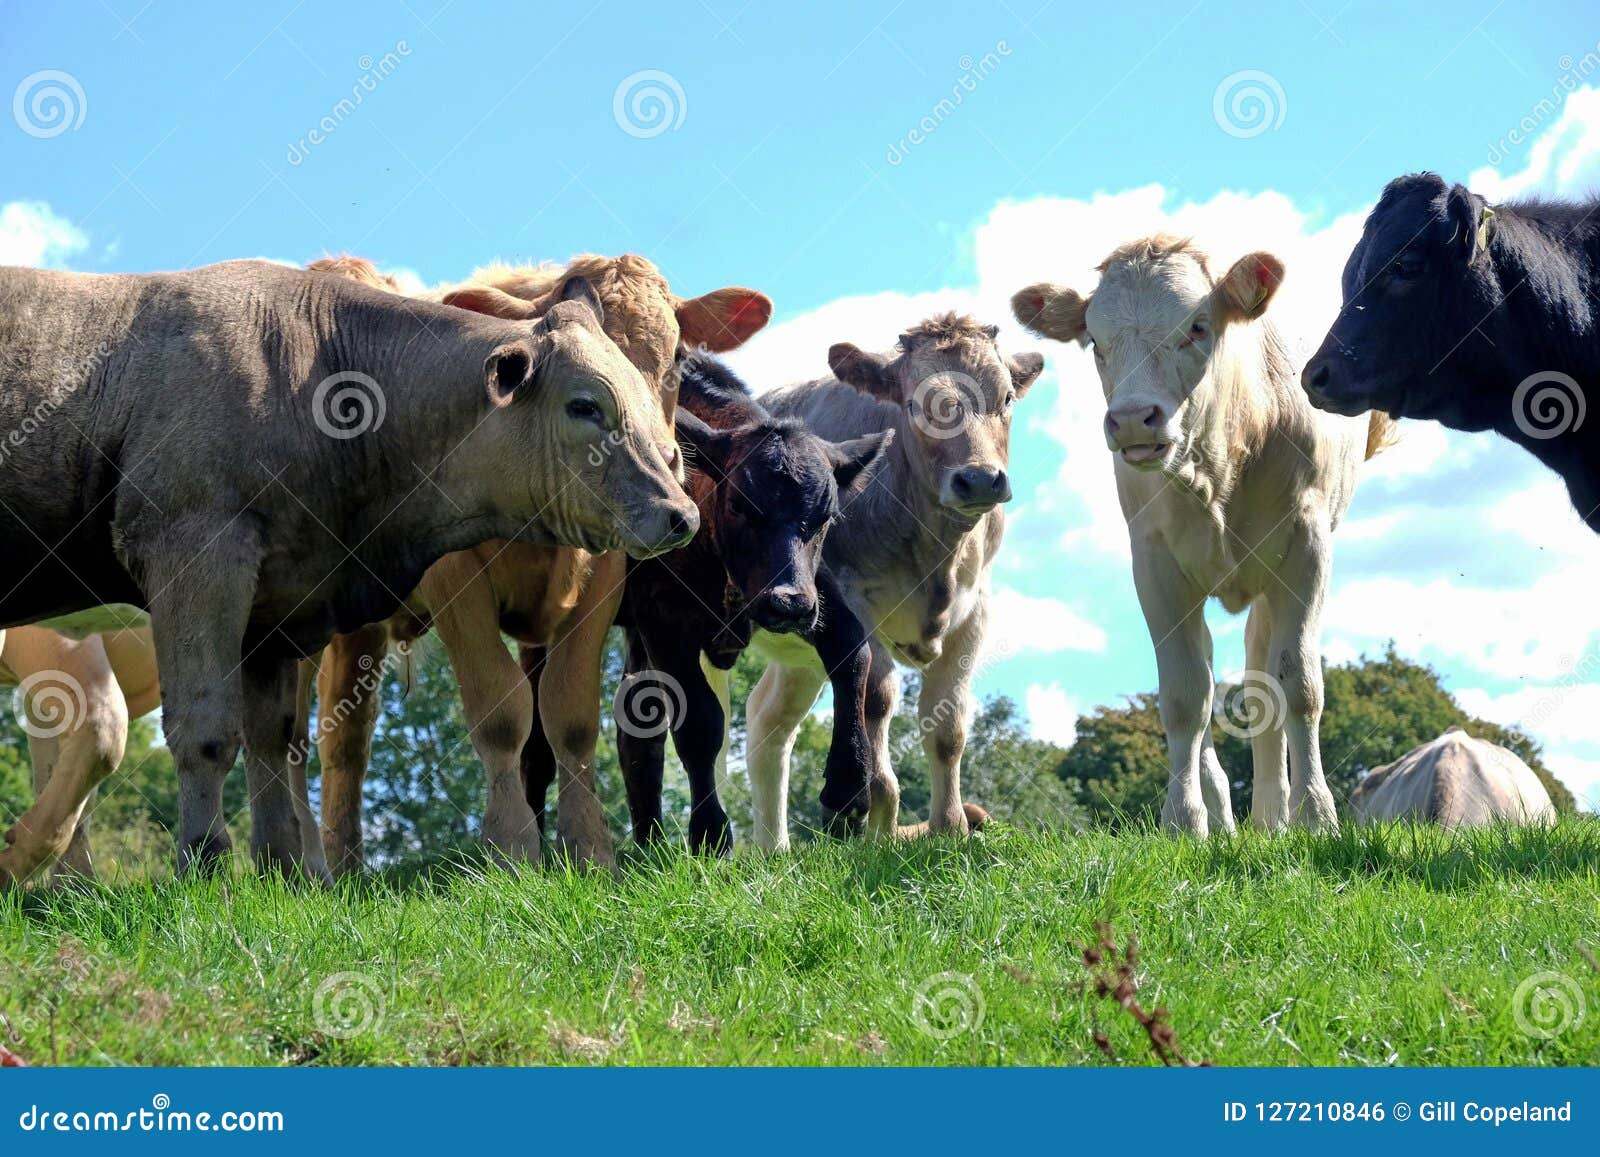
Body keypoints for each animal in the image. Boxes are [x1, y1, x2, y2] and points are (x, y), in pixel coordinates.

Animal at [0, 260, 696, 882]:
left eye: (662, 381)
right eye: (585, 405)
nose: (681, 512)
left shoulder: (274, 607)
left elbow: (272, 737)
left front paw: (279, 874)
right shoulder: (195, 553)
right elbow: (206, 729)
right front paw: (204, 869)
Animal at [736, 313, 1043, 850]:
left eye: (1007, 398)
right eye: (917, 404)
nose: (980, 479)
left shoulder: (975, 612)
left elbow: (948, 724)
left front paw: (950, 830)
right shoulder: (854, 603)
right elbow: (875, 699)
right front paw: (879, 832)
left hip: (795, 649)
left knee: (766, 720)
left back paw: (773, 851)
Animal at [1013, 236, 1391, 835]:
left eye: (1197, 326)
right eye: (1095, 341)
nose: (1132, 419)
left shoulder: (1307, 550)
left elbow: (1298, 686)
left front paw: (1316, 815)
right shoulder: (1155, 564)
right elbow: (1186, 694)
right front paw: (1184, 819)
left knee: (1264, 673)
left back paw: (1272, 816)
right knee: (1211, 673)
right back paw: (1228, 812)